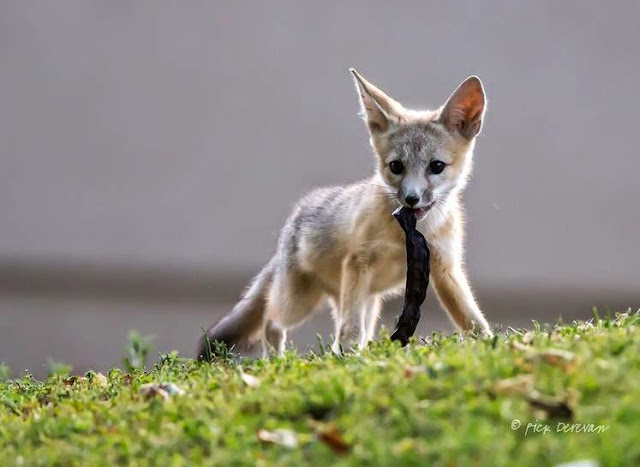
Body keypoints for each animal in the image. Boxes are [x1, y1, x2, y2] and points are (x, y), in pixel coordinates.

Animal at [197, 69, 493, 360]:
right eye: (396, 166)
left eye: (437, 166)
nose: (411, 199)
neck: (410, 233)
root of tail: (291, 225)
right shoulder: (357, 262)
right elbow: (350, 329)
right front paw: (350, 353)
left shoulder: (445, 268)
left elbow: (472, 319)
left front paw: (490, 343)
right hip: (301, 302)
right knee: (271, 319)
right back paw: (278, 360)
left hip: (366, 302)